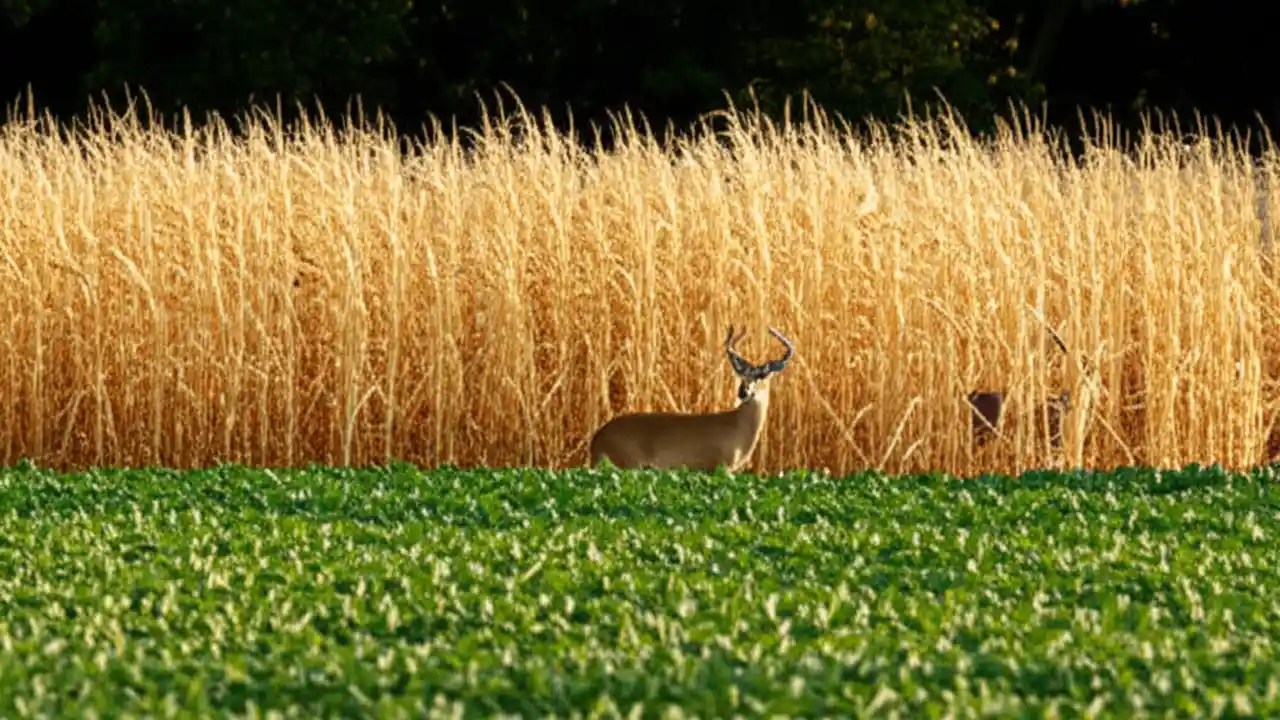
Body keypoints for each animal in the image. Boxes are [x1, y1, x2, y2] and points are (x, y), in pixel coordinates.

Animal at [587, 326, 794, 472]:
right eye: (740, 373)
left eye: (763, 375)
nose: (743, 392)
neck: (737, 428)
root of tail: (596, 439)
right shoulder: (720, 466)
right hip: (628, 465)